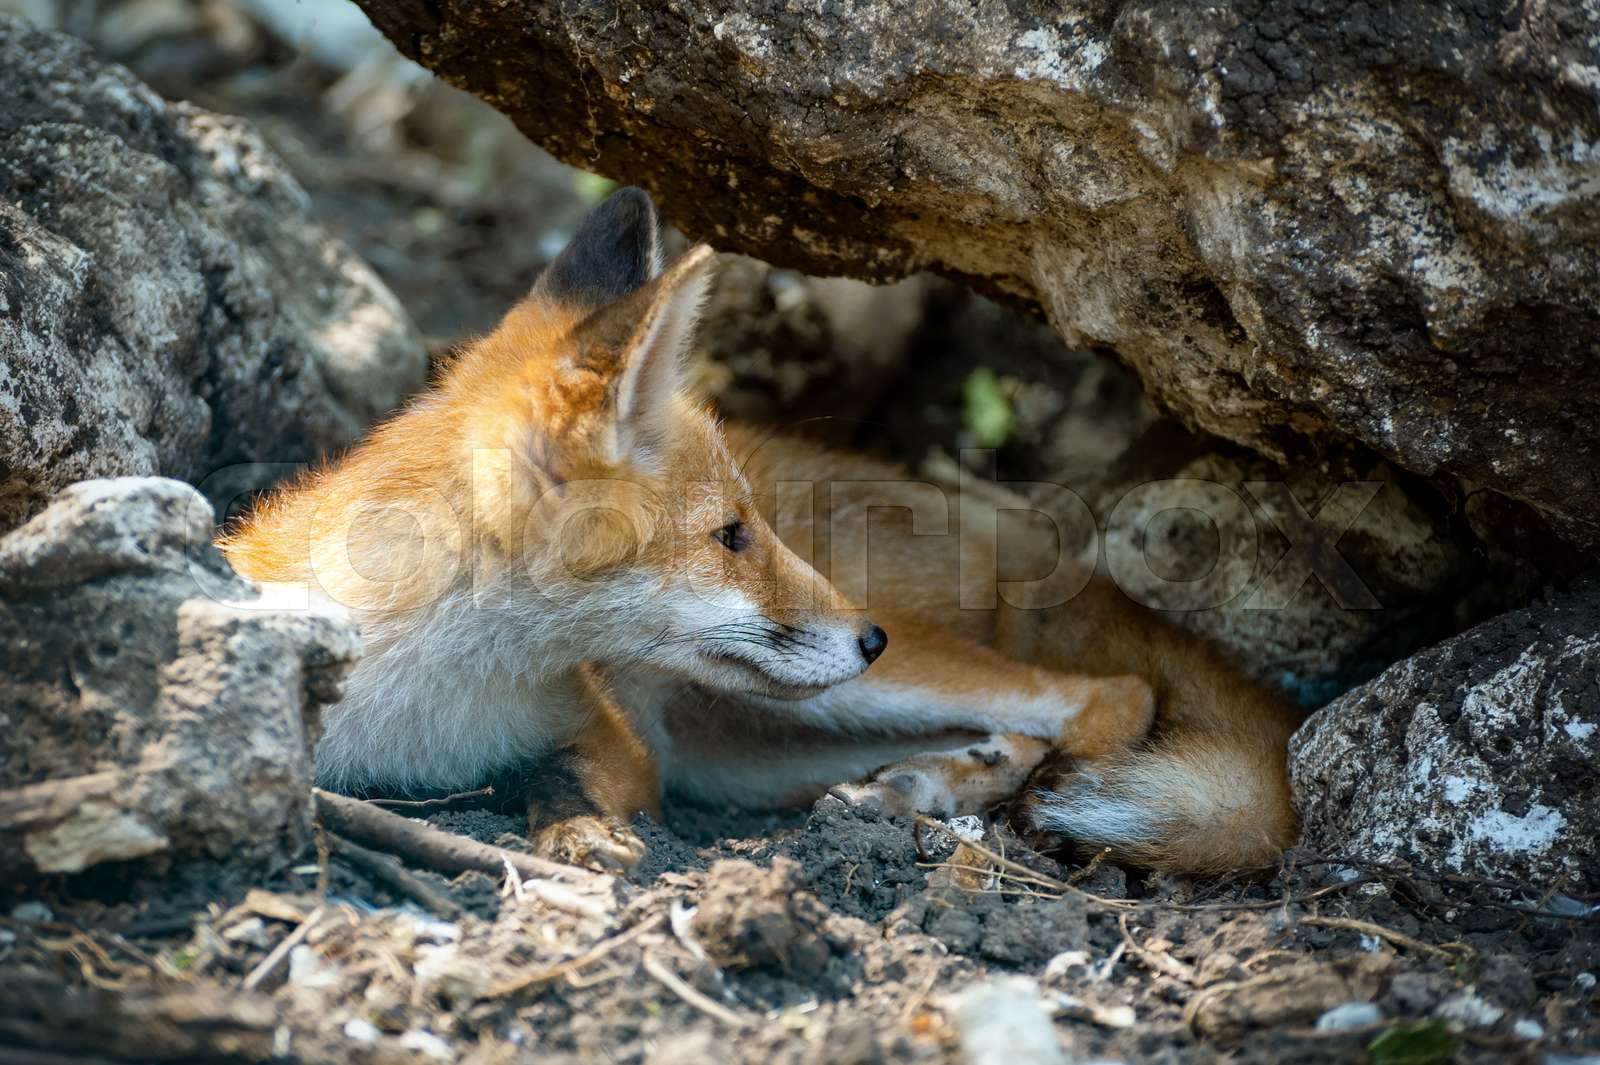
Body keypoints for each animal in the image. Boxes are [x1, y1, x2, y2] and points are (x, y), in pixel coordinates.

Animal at [220, 187, 1302, 874]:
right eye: (731, 536)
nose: (868, 635)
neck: (426, 699)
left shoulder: (615, 740)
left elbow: (560, 776)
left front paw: (573, 832)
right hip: (757, 740)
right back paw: (947, 777)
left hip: (854, 692)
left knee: (1108, 697)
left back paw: (962, 781)